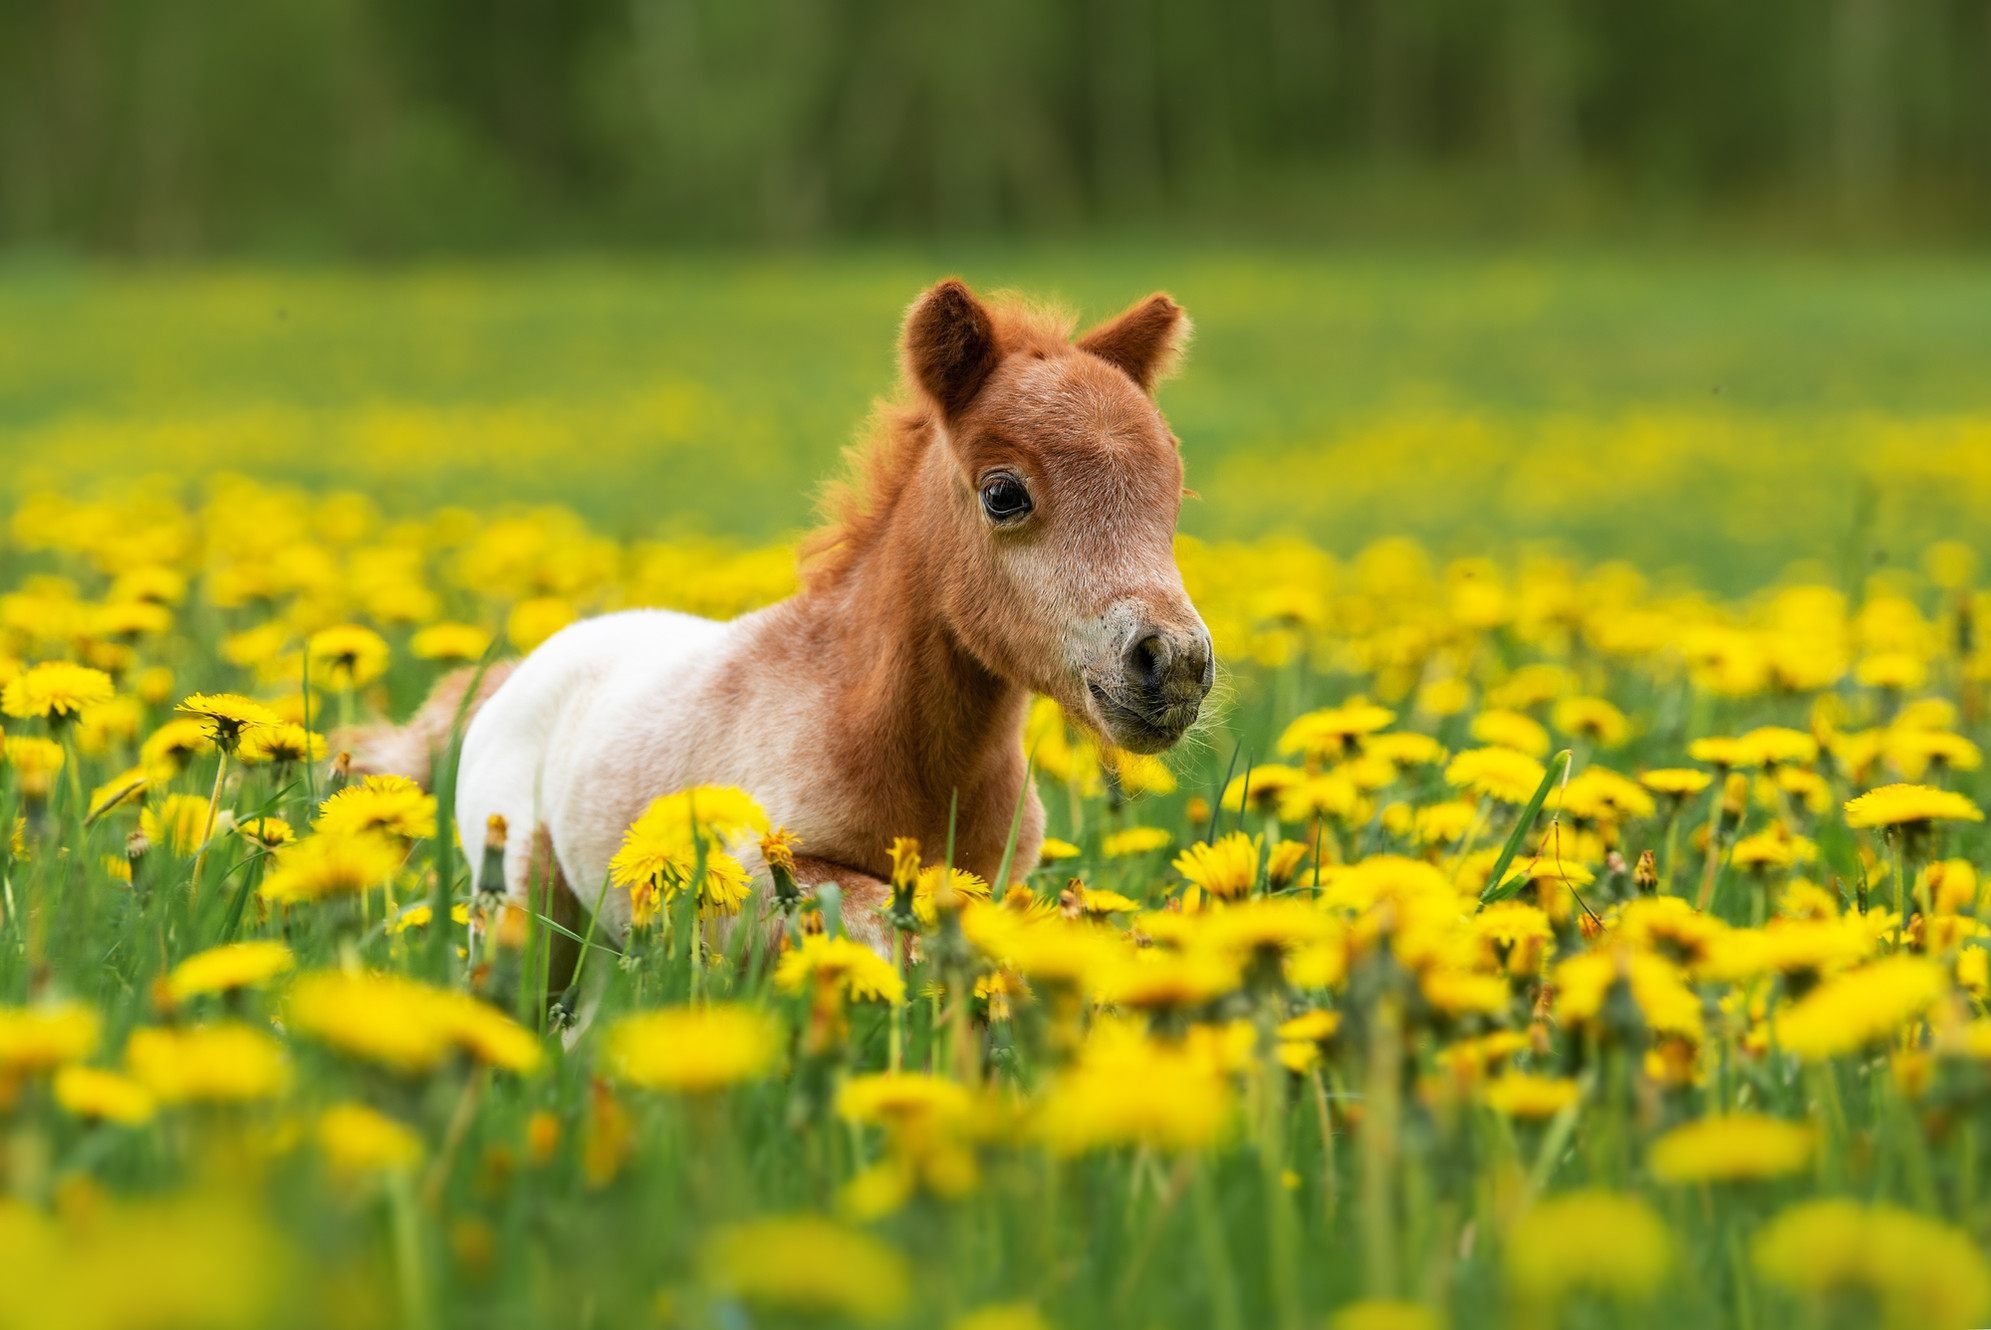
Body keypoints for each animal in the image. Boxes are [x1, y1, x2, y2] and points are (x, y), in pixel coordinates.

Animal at [351, 278, 1214, 960]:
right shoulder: (757, 878)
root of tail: (512, 674)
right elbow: (893, 930)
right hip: (518, 908)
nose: (1172, 662)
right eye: (1003, 493)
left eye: (1172, 491)